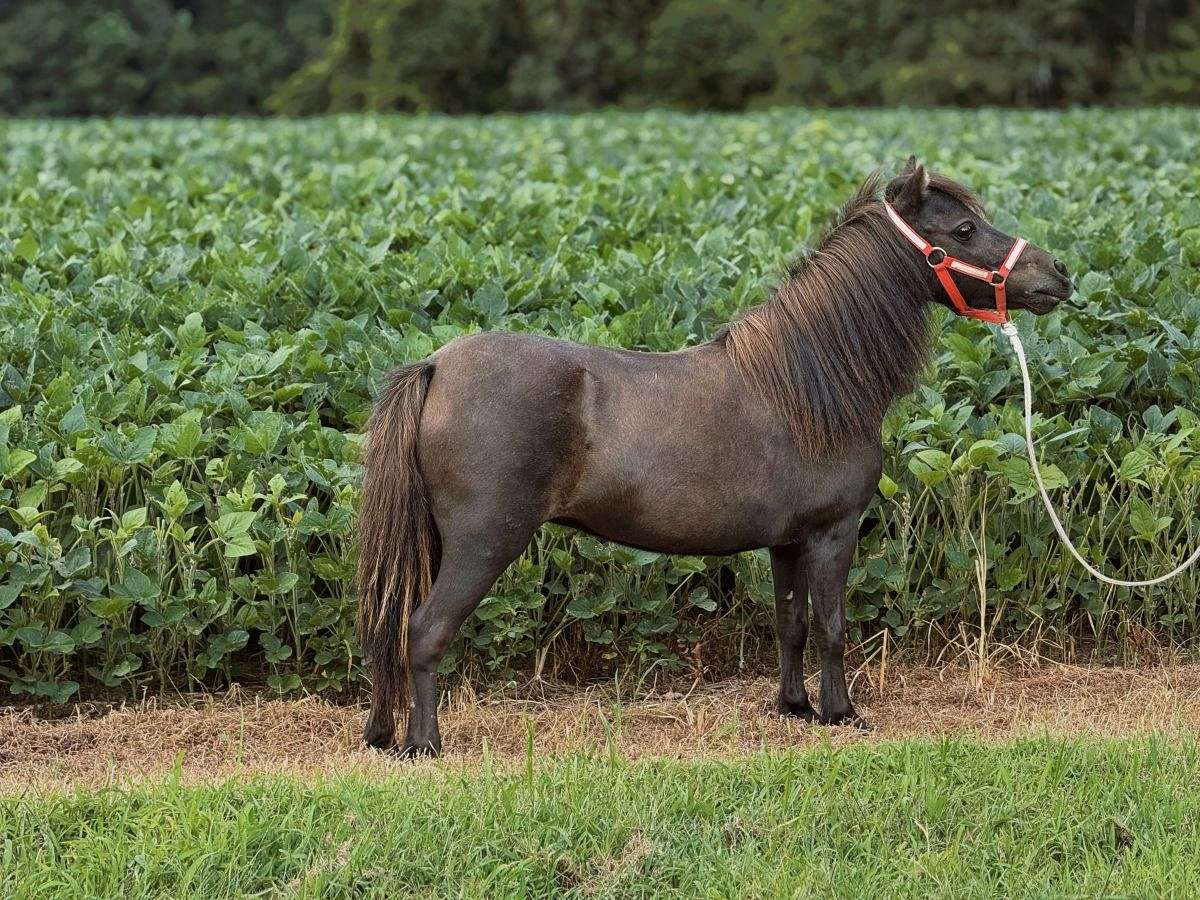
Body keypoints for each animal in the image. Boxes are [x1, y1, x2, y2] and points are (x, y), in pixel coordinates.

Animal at [356, 156, 1076, 758]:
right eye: (964, 227)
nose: (1059, 274)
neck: (807, 382)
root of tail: (435, 366)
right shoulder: (833, 531)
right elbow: (833, 625)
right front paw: (842, 713)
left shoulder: (787, 541)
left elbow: (791, 624)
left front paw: (794, 707)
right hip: (485, 542)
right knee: (424, 630)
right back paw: (423, 745)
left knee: (391, 628)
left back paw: (382, 733)